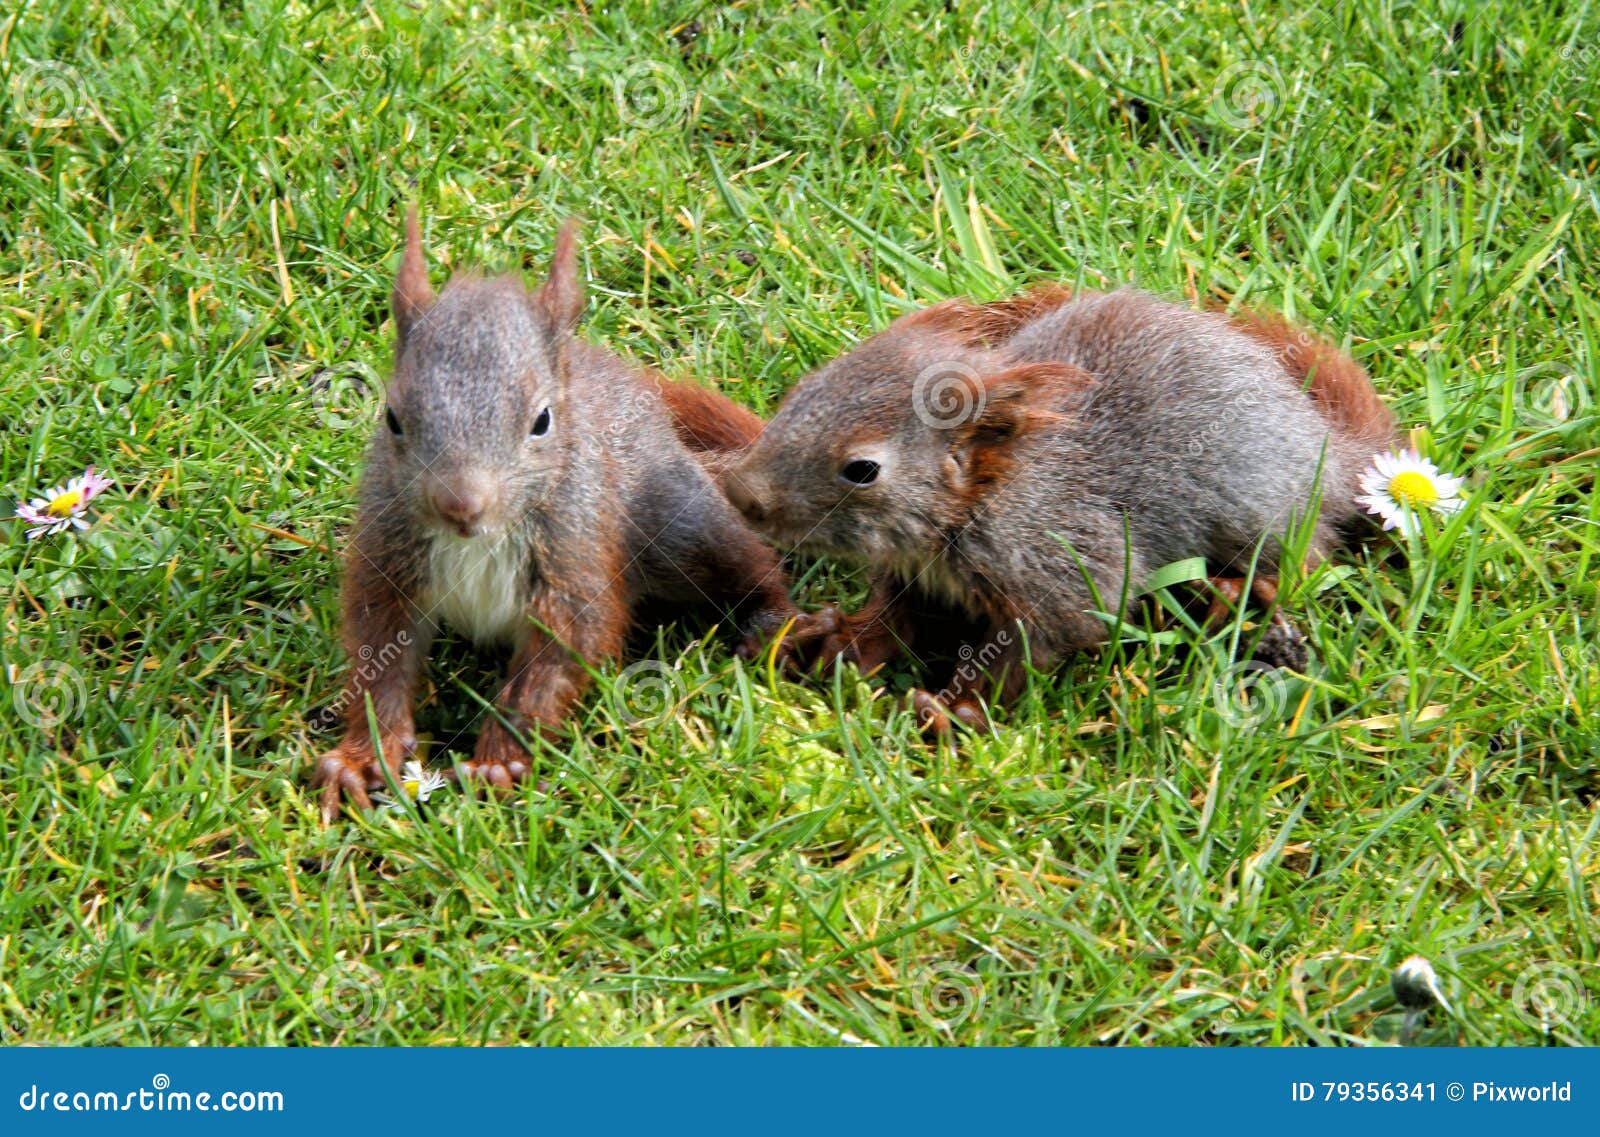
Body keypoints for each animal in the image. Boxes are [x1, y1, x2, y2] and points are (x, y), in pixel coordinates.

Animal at [314, 210, 808, 819]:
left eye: (542, 421)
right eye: (392, 418)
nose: (460, 506)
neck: (480, 539)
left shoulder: (574, 558)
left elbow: (558, 659)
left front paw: (500, 760)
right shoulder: (388, 558)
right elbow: (379, 655)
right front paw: (363, 756)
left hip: (682, 523)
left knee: (750, 563)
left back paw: (772, 623)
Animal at [721, 286, 1396, 731]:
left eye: (862, 469)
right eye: (801, 391)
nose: (741, 495)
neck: (989, 499)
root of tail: (1325, 443)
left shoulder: (1066, 567)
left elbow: (1034, 646)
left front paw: (955, 711)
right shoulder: (913, 578)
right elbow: (891, 621)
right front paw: (831, 643)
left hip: (1263, 510)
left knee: (1306, 559)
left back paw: (1236, 593)